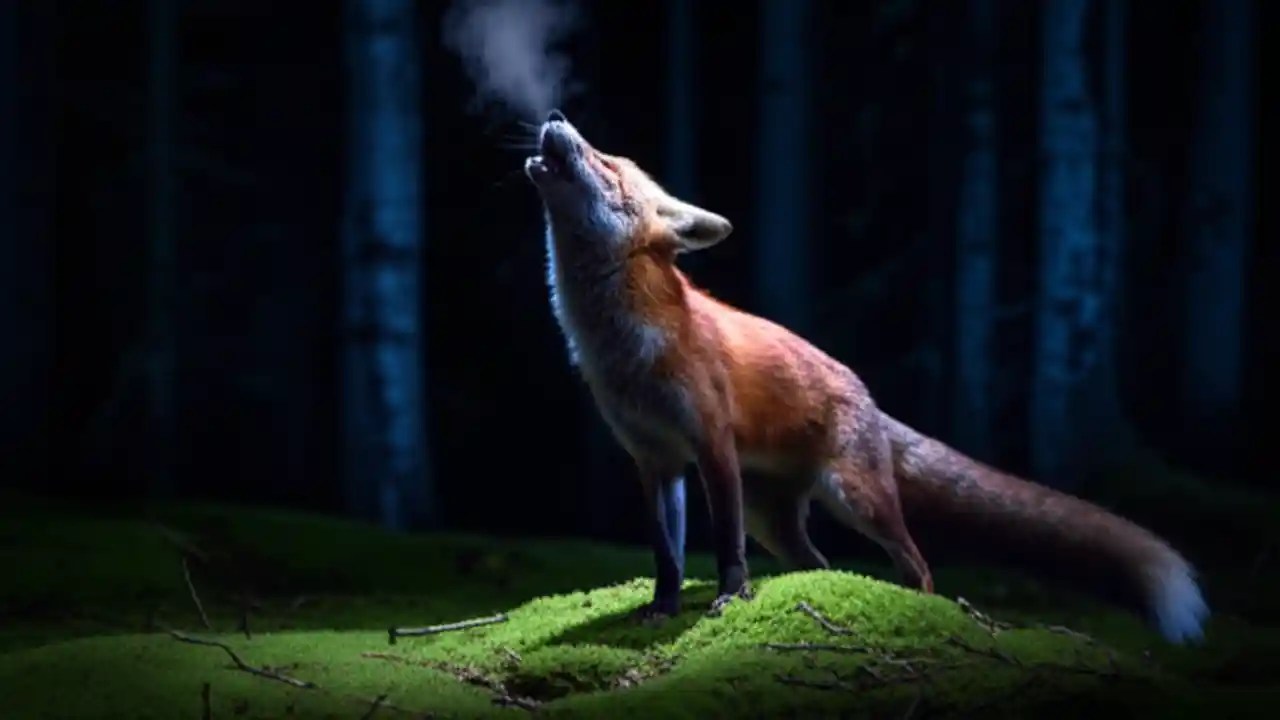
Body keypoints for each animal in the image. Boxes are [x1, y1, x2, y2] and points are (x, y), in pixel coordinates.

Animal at [524, 109, 1209, 644]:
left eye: (606, 165)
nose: (554, 114)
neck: (624, 349)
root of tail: (868, 394)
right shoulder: (654, 458)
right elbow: (666, 554)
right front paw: (663, 609)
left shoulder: (711, 442)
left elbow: (724, 546)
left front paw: (727, 599)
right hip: (776, 518)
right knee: (818, 560)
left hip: (857, 500)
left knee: (918, 563)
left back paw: (924, 609)